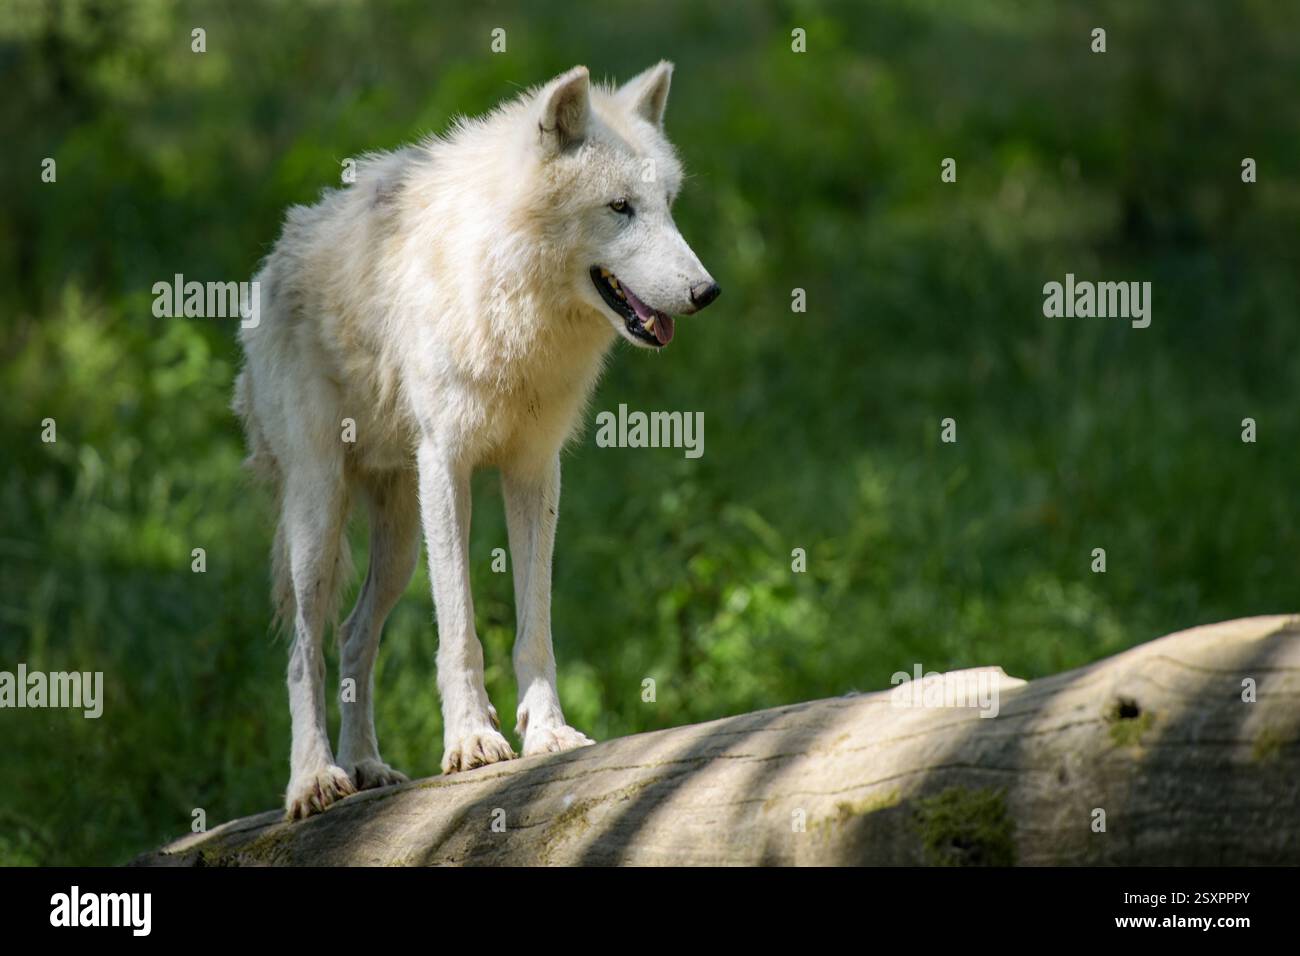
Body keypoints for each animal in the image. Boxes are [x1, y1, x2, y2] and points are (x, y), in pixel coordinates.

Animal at [233, 62, 720, 819]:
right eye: (619, 208)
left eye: (667, 205)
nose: (706, 291)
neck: (513, 297)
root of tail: (272, 259)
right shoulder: (448, 465)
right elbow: (460, 628)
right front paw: (470, 741)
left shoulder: (535, 471)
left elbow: (535, 625)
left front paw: (547, 733)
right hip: (320, 515)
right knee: (303, 652)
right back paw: (314, 779)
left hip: (399, 544)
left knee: (353, 636)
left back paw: (367, 766)